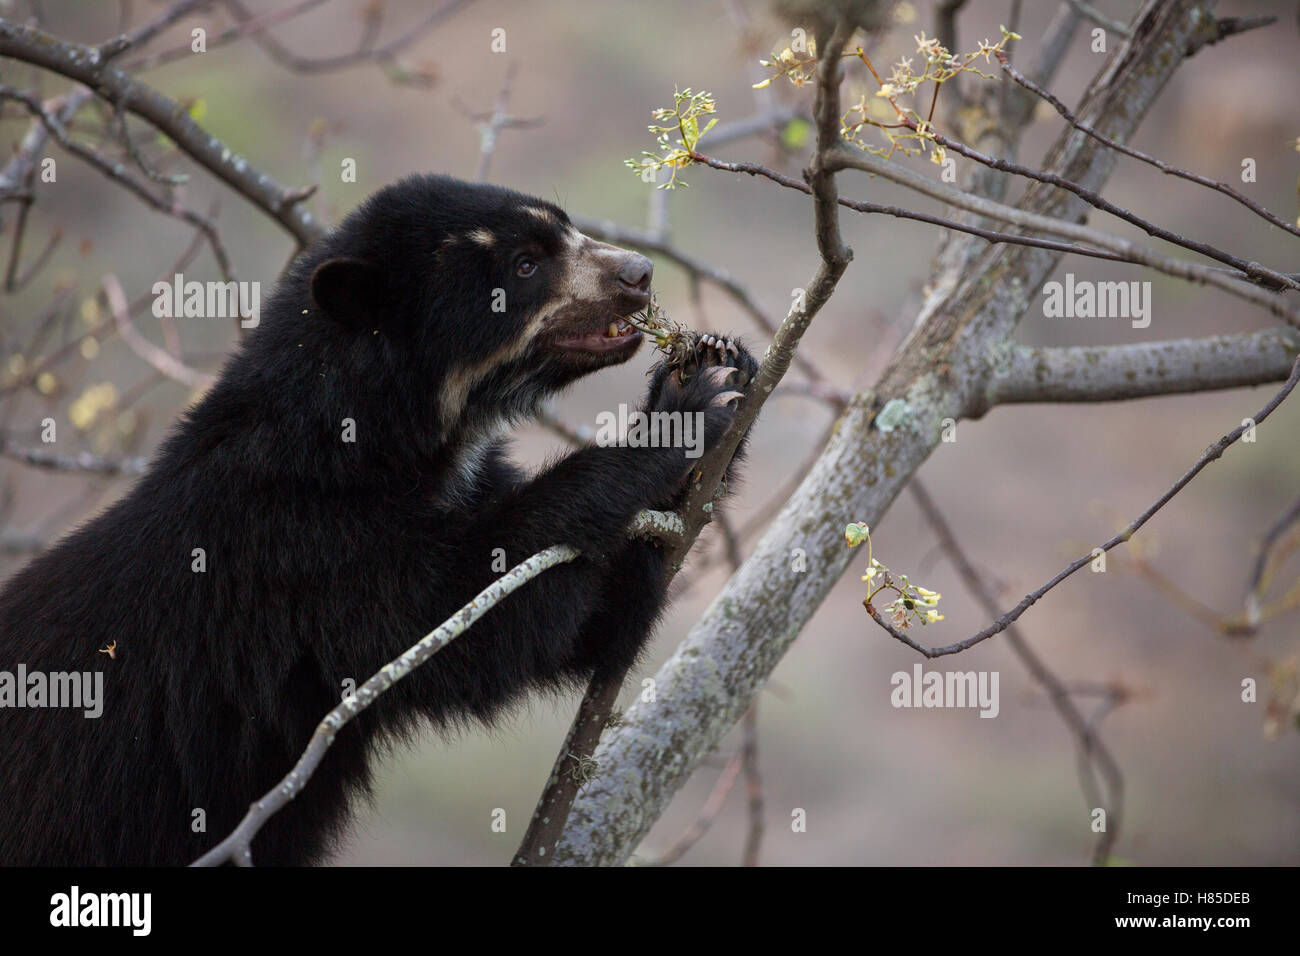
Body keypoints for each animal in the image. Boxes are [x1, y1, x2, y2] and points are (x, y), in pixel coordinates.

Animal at [0, 173, 756, 866]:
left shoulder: (464, 483)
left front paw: (717, 366)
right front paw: (686, 414)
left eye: (566, 227)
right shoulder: (299, 555)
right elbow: (461, 619)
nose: (639, 273)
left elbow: (585, 628)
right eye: (523, 265)